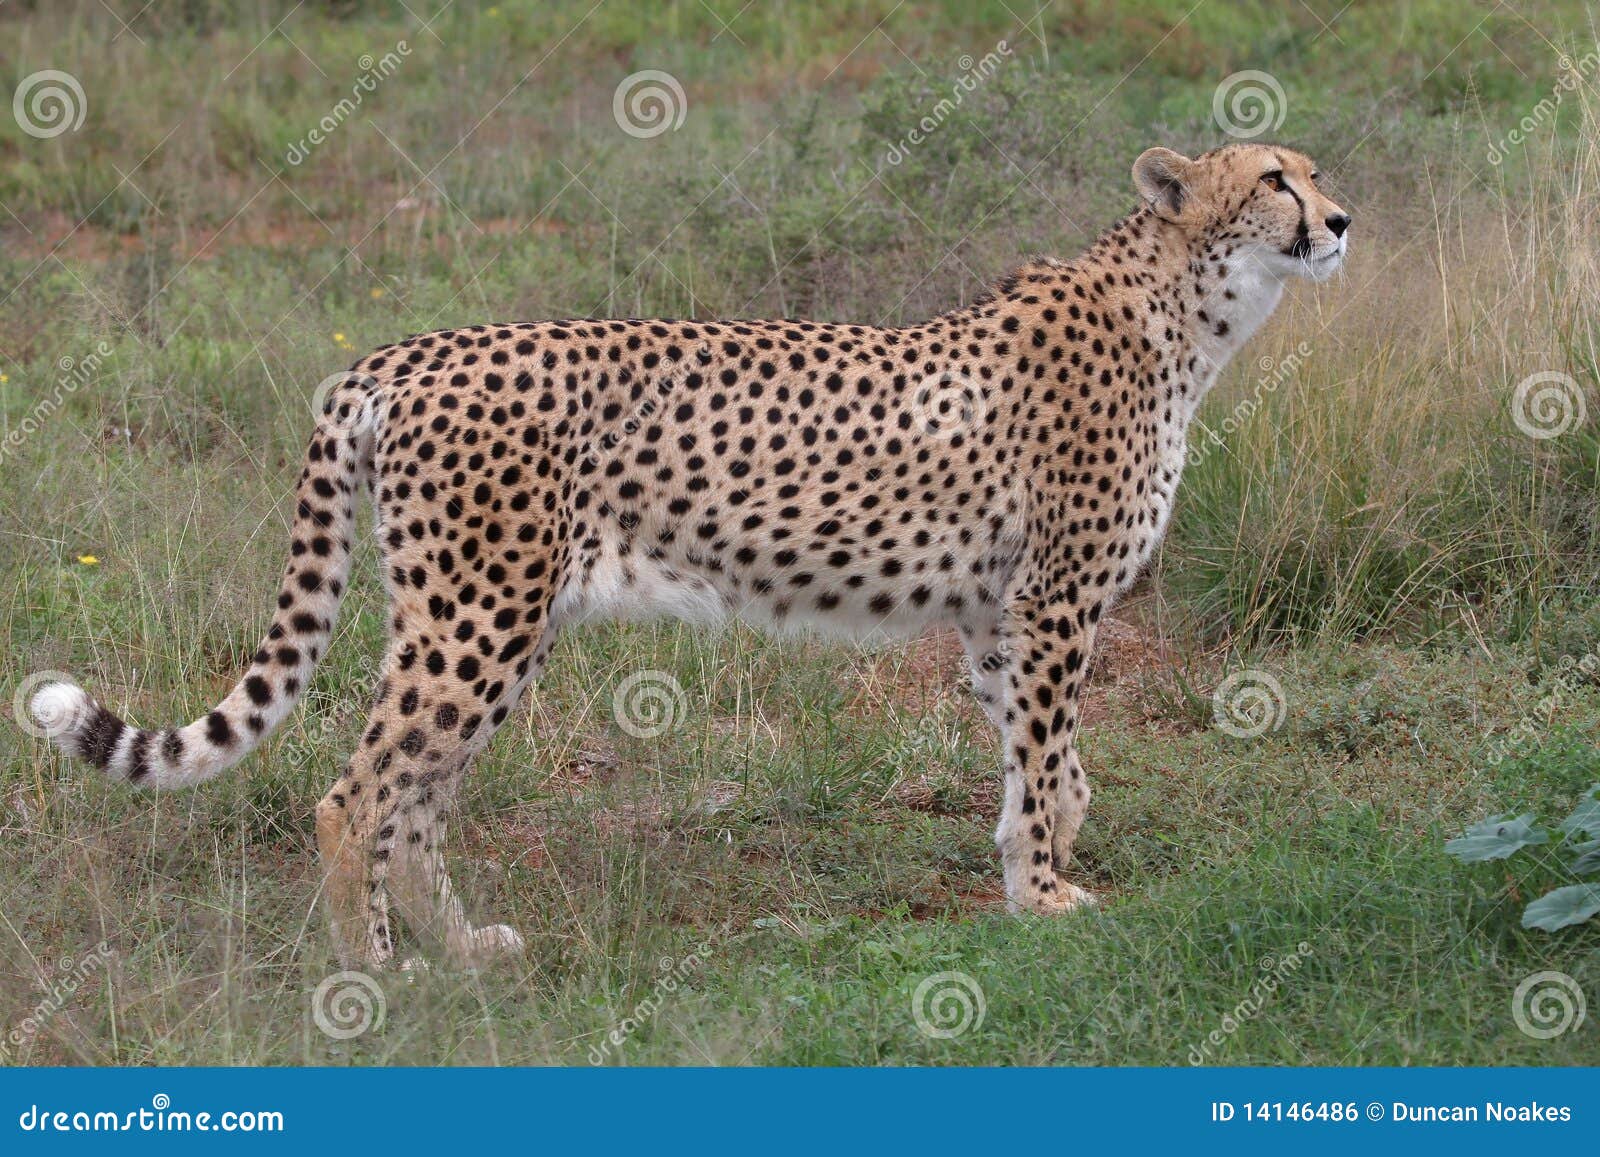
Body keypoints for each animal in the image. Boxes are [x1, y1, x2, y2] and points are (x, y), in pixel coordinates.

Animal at [31, 143, 1349, 968]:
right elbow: (1043, 750)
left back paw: (459, 951)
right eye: (1272, 177)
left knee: (417, 801)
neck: (1186, 309)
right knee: (356, 796)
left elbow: (1049, 762)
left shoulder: (996, 612)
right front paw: (1045, 895)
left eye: (1316, 171)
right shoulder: (1056, 598)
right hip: (477, 620)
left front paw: (1049, 857)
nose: (1339, 220)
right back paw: (375, 982)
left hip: (496, 623)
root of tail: (406, 351)